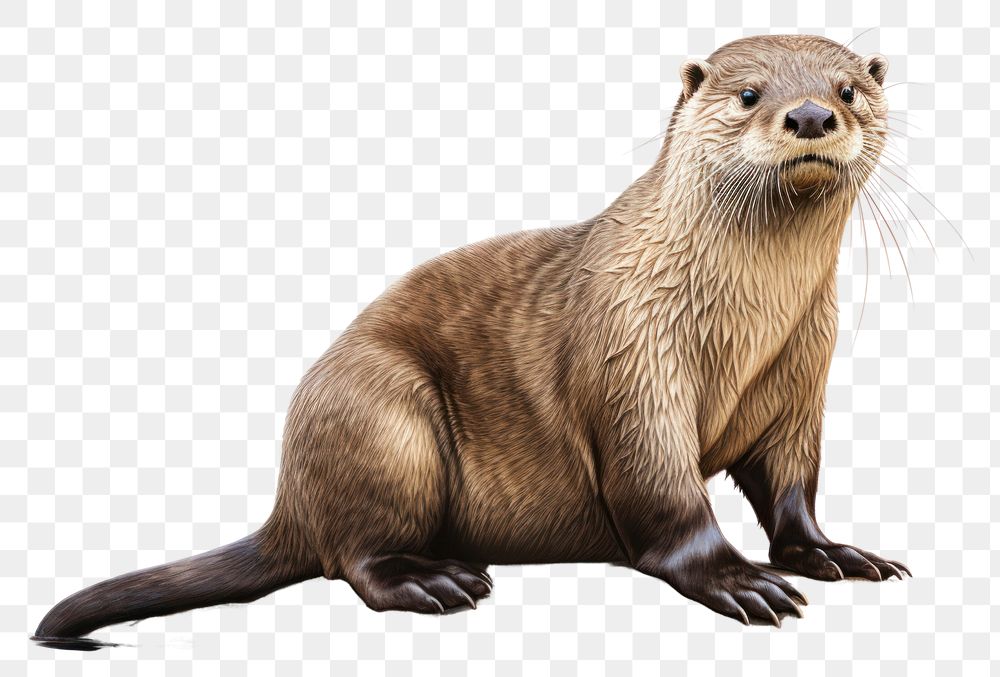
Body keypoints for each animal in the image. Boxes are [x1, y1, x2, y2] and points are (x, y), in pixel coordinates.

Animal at [33, 34, 910, 649]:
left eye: (848, 89)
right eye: (749, 93)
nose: (809, 115)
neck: (741, 321)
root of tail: (294, 498)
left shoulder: (800, 377)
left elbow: (792, 482)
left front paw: (834, 552)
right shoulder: (635, 361)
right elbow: (663, 494)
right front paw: (738, 580)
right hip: (381, 414)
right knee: (352, 556)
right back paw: (435, 581)